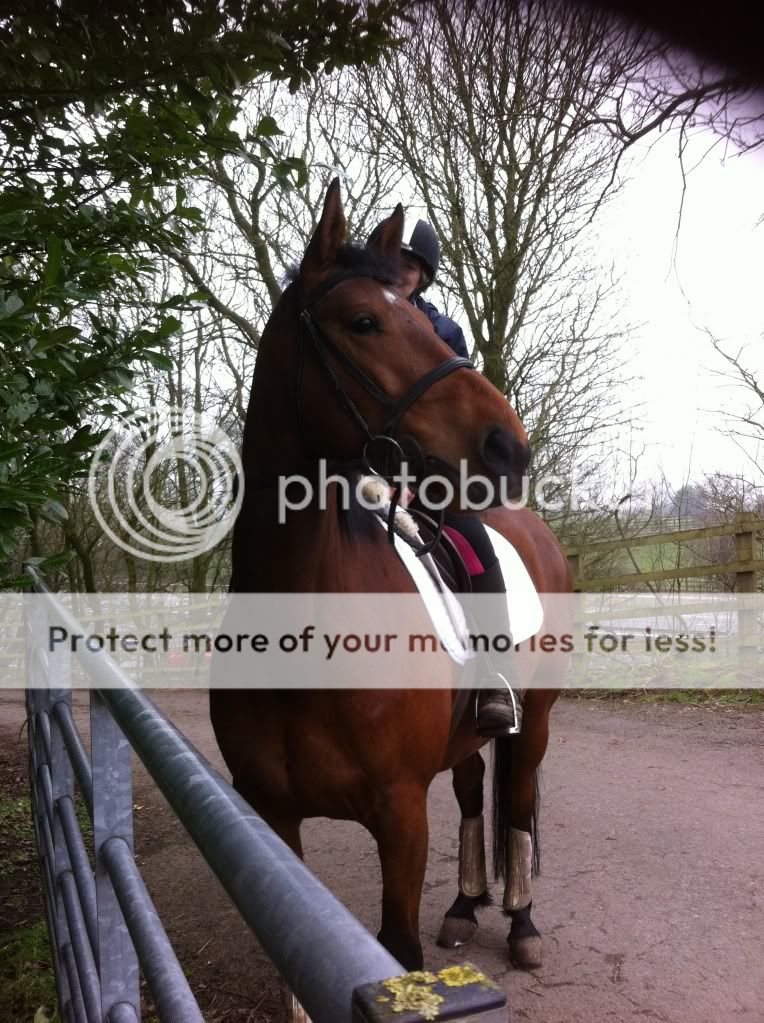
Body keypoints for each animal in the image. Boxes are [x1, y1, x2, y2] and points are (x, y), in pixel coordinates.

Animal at [210, 180, 572, 1014]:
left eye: (418, 314)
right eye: (363, 320)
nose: (510, 446)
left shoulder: (400, 815)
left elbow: (398, 949)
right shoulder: (272, 819)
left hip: (535, 720)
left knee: (519, 803)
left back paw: (521, 923)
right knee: (473, 792)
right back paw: (466, 906)